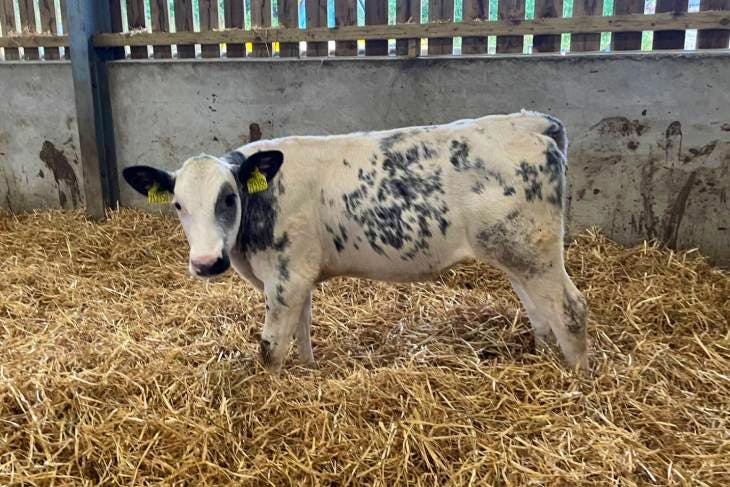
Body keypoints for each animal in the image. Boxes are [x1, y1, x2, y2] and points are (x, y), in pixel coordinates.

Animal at [122, 110, 589, 373]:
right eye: (178, 204)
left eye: (229, 197)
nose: (206, 262)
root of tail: (531, 122)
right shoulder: (299, 275)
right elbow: (302, 332)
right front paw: (309, 372)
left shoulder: (286, 278)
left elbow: (271, 349)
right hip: (515, 253)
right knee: (540, 312)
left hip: (534, 249)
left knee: (570, 309)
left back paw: (579, 379)